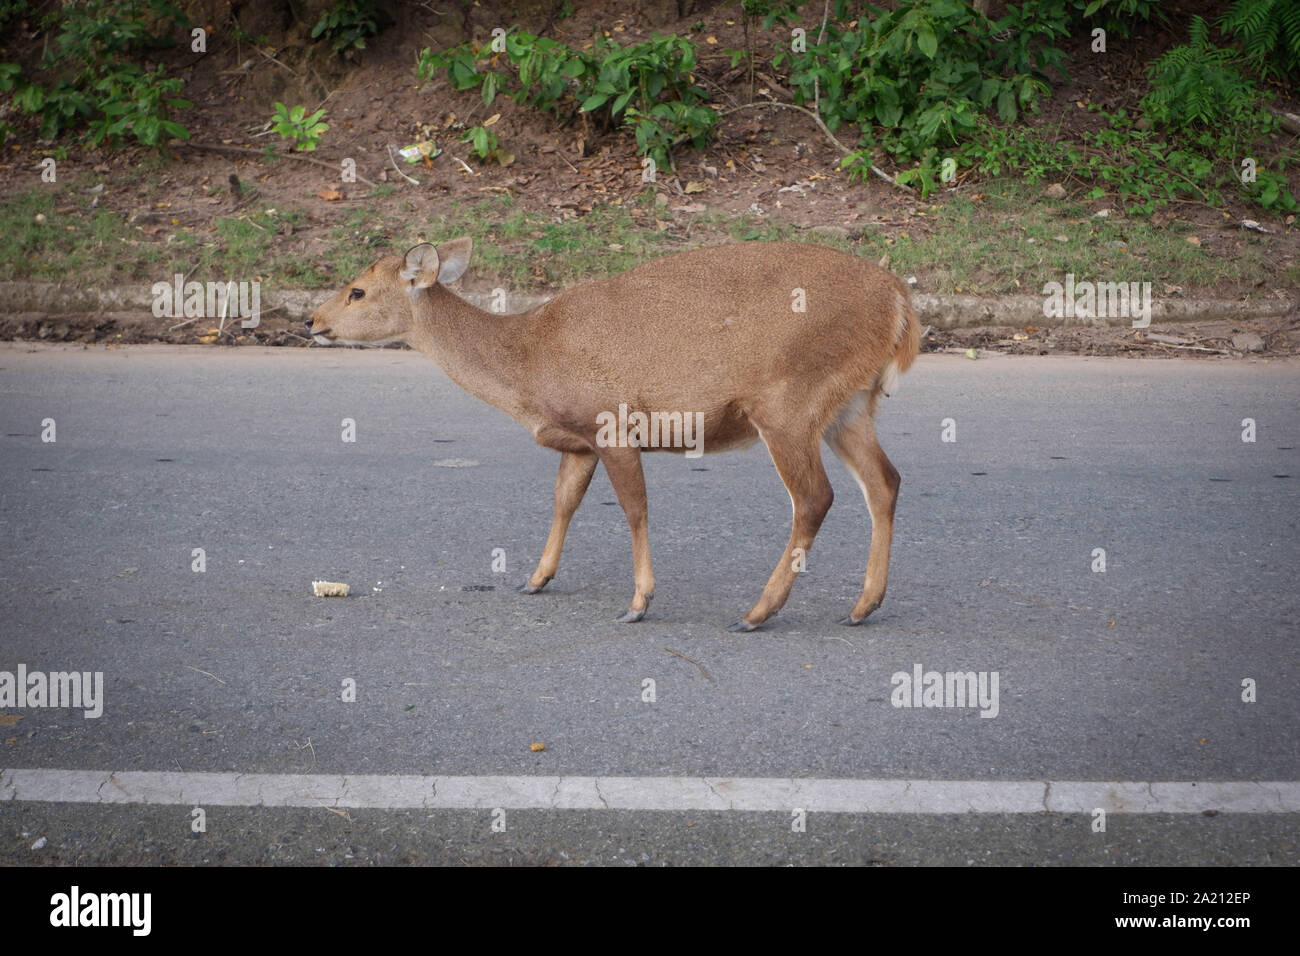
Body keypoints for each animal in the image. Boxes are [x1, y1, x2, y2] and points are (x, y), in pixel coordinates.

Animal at [308, 238, 920, 631]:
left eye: (357, 291)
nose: (310, 322)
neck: (527, 363)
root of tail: (899, 299)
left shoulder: (613, 422)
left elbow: (633, 508)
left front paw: (639, 601)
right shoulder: (578, 439)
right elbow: (564, 500)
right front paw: (536, 578)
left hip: (788, 400)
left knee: (815, 497)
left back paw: (757, 613)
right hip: (848, 406)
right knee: (885, 482)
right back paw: (863, 606)